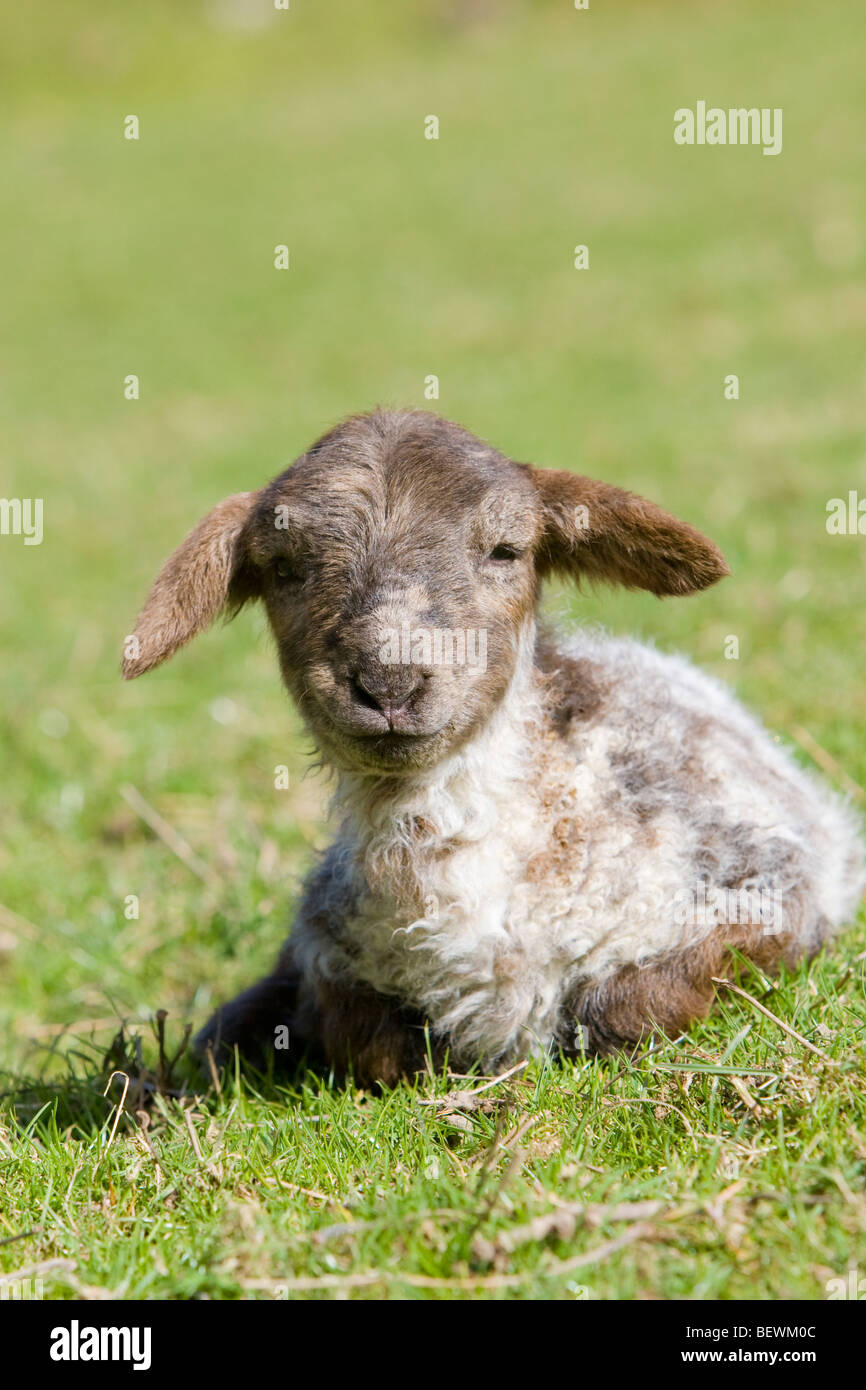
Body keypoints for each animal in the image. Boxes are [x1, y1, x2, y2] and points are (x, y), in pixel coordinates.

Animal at [122, 409, 865, 1085]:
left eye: (506, 550)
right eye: (283, 568)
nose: (389, 681)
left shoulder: (769, 885)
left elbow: (627, 1004)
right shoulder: (324, 943)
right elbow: (363, 1036)